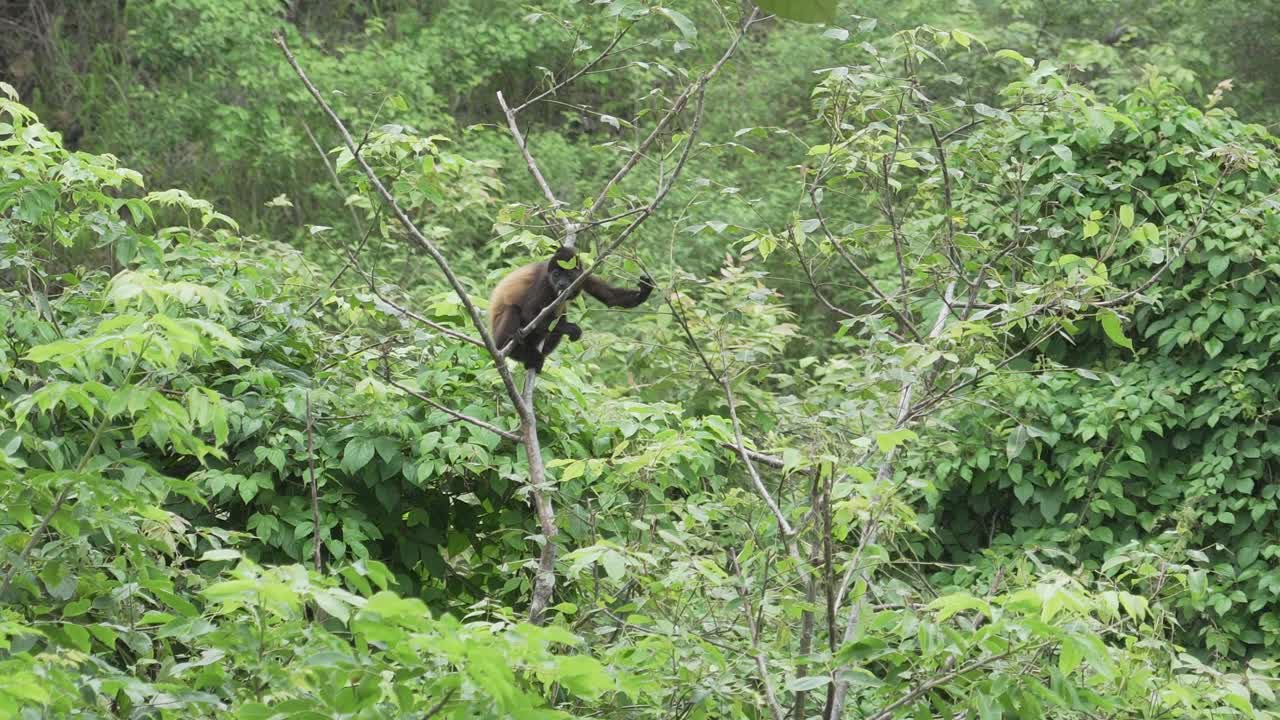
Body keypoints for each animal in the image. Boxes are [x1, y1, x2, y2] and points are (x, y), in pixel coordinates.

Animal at [488, 246, 654, 372]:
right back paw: (512, 346)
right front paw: (573, 329)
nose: (561, 284)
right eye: (556, 275)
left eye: (568, 274)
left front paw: (644, 291)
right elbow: (529, 314)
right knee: (513, 310)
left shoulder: (583, 275)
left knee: (560, 314)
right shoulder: (544, 282)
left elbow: (610, 297)